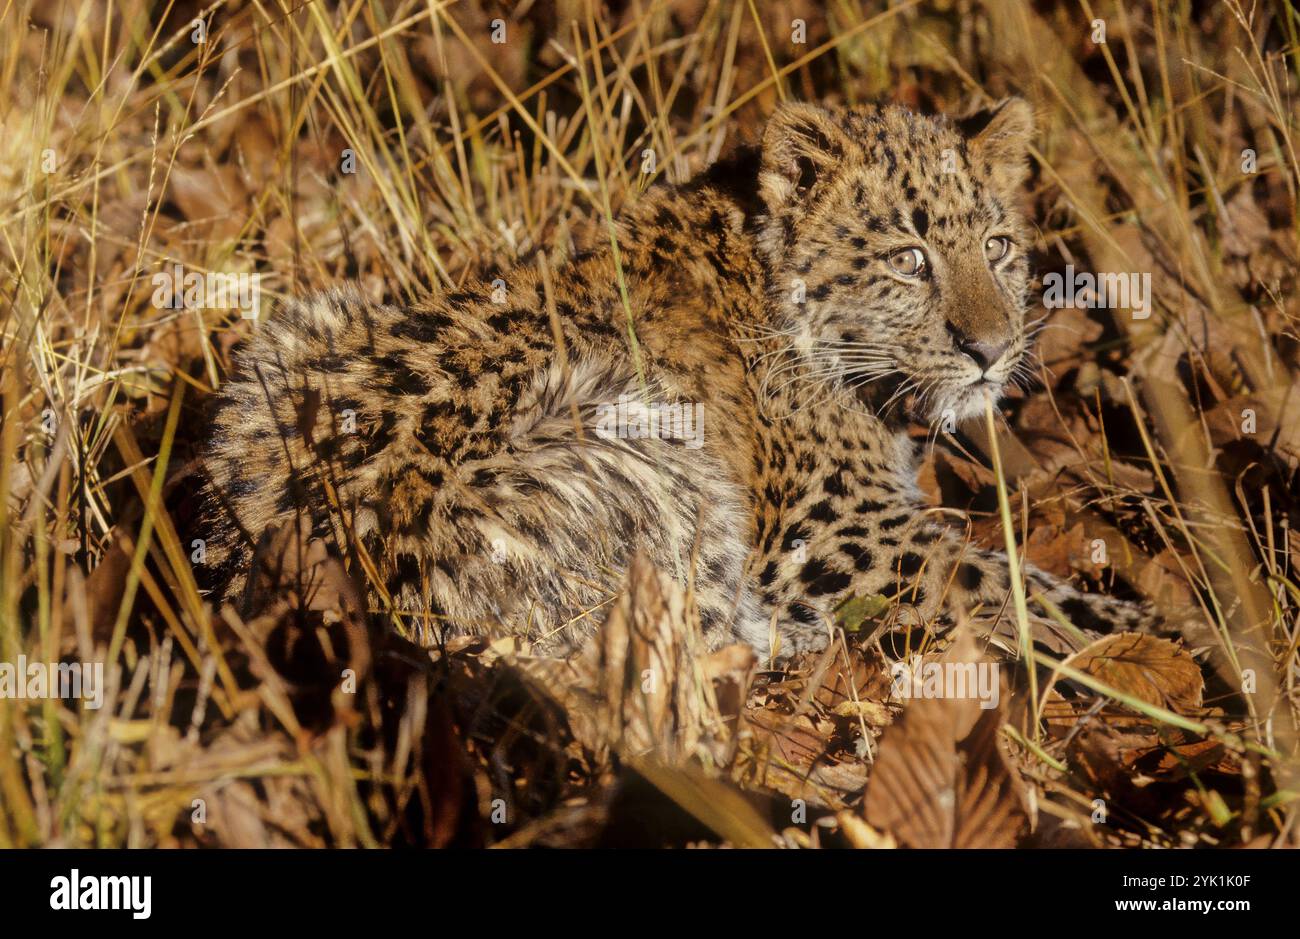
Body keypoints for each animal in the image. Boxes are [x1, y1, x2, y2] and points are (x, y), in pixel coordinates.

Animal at [200, 97, 1159, 663]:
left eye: (997, 247)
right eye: (908, 259)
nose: (993, 349)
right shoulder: (836, 534)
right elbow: (1003, 583)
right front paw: (1163, 642)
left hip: (287, 344)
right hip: (629, 430)